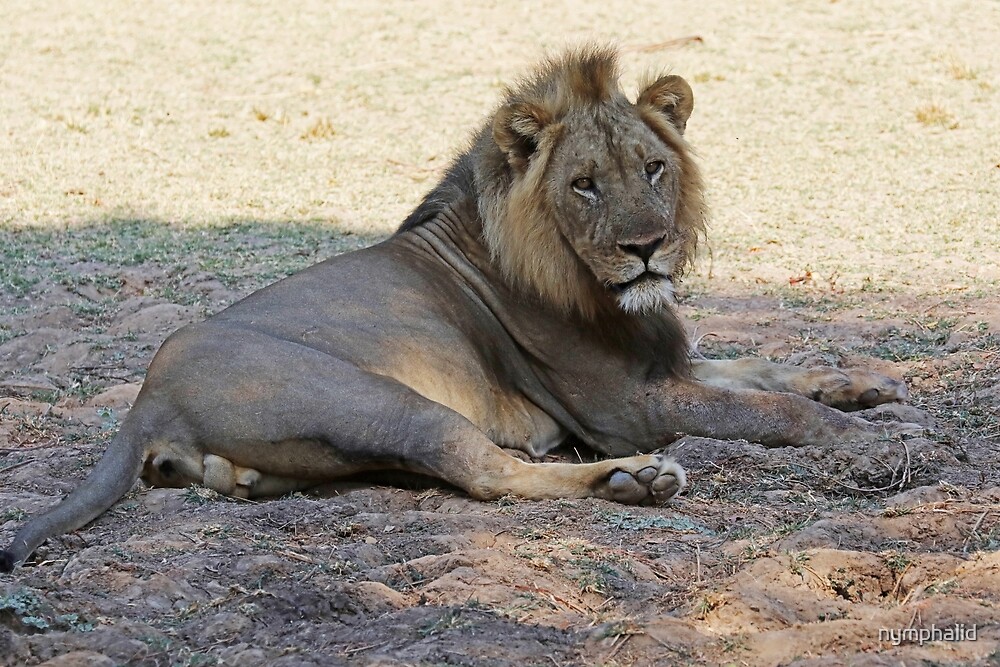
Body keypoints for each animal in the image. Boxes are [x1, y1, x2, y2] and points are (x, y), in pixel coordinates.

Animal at [0, 46, 910, 572]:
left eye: (653, 166)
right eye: (584, 184)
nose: (649, 247)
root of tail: (147, 394)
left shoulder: (673, 363)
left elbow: (768, 367)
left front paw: (868, 383)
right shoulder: (630, 406)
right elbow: (767, 407)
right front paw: (871, 439)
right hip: (386, 400)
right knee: (488, 469)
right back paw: (635, 481)